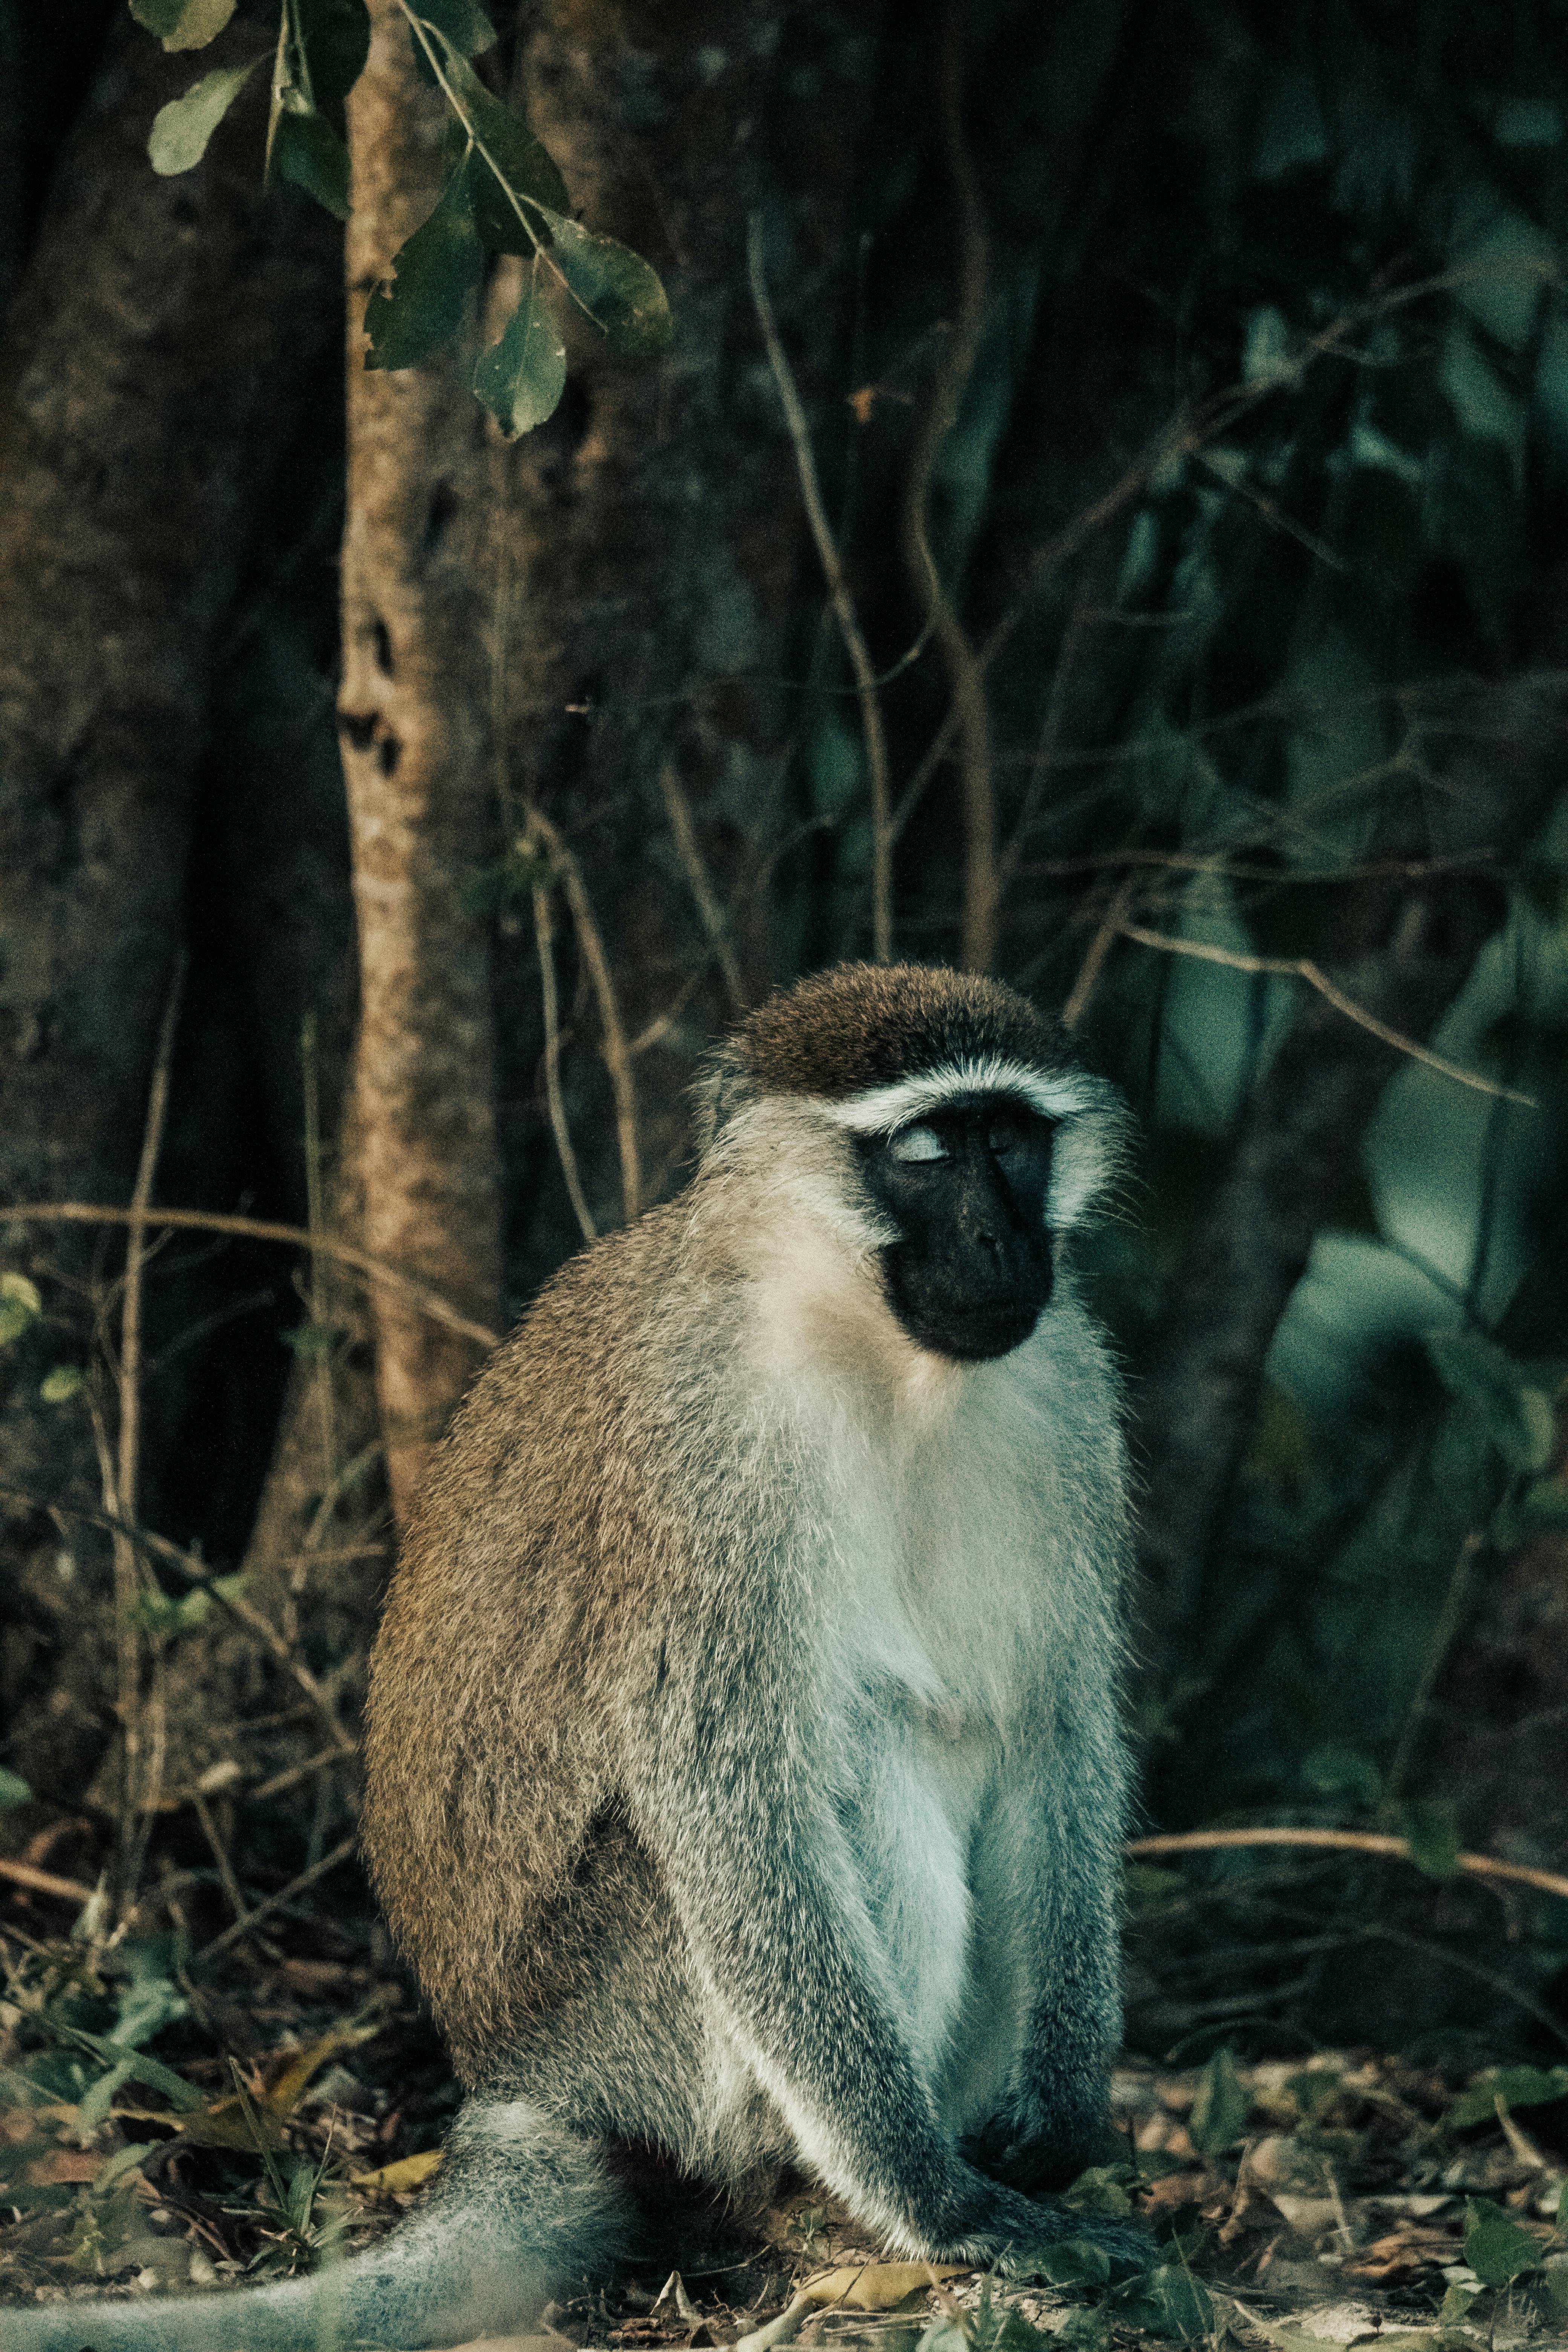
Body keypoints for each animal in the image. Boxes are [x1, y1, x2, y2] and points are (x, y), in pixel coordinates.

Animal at [5, 963, 1145, 2352]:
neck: (865, 1346)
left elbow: (1058, 1726)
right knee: (853, 1762)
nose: (1000, 1245)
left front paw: (1065, 2108)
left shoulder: (1065, 1390)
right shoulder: (700, 1451)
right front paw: (937, 2198)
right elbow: (727, 1797)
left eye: (1014, 1144)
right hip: (628, 2017)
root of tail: (525, 2078)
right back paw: (818, 2192)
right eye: (926, 1153)